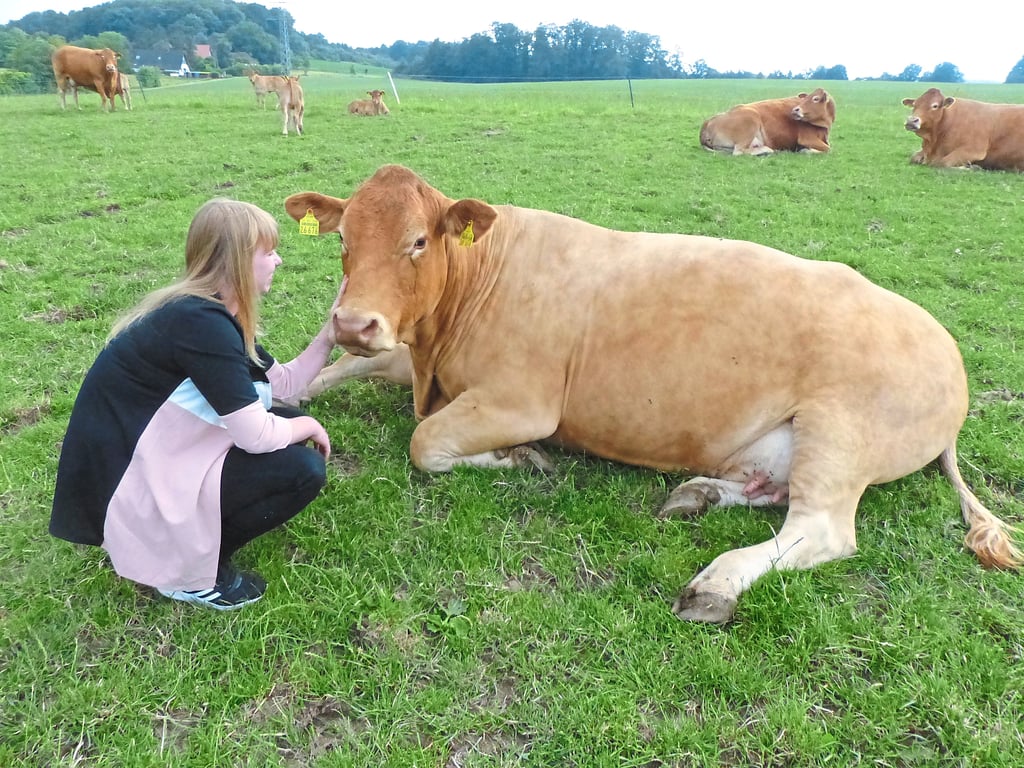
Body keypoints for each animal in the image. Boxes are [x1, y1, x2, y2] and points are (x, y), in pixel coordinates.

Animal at [284, 164, 1021, 624]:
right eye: (343, 238)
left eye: (417, 241)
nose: (352, 322)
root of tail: (949, 354)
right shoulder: (408, 355)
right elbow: (331, 374)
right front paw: (292, 393)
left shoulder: (522, 399)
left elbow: (424, 442)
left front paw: (521, 459)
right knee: (772, 492)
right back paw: (700, 495)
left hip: (838, 430)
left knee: (821, 530)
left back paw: (716, 582)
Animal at [699, 88, 836, 155]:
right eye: (805, 99)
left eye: (815, 99)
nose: (795, 110)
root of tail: (708, 122)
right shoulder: (806, 138)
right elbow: (829, 149)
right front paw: (805, 151)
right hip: (751, 119)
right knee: (738, 151)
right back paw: (766, 150)